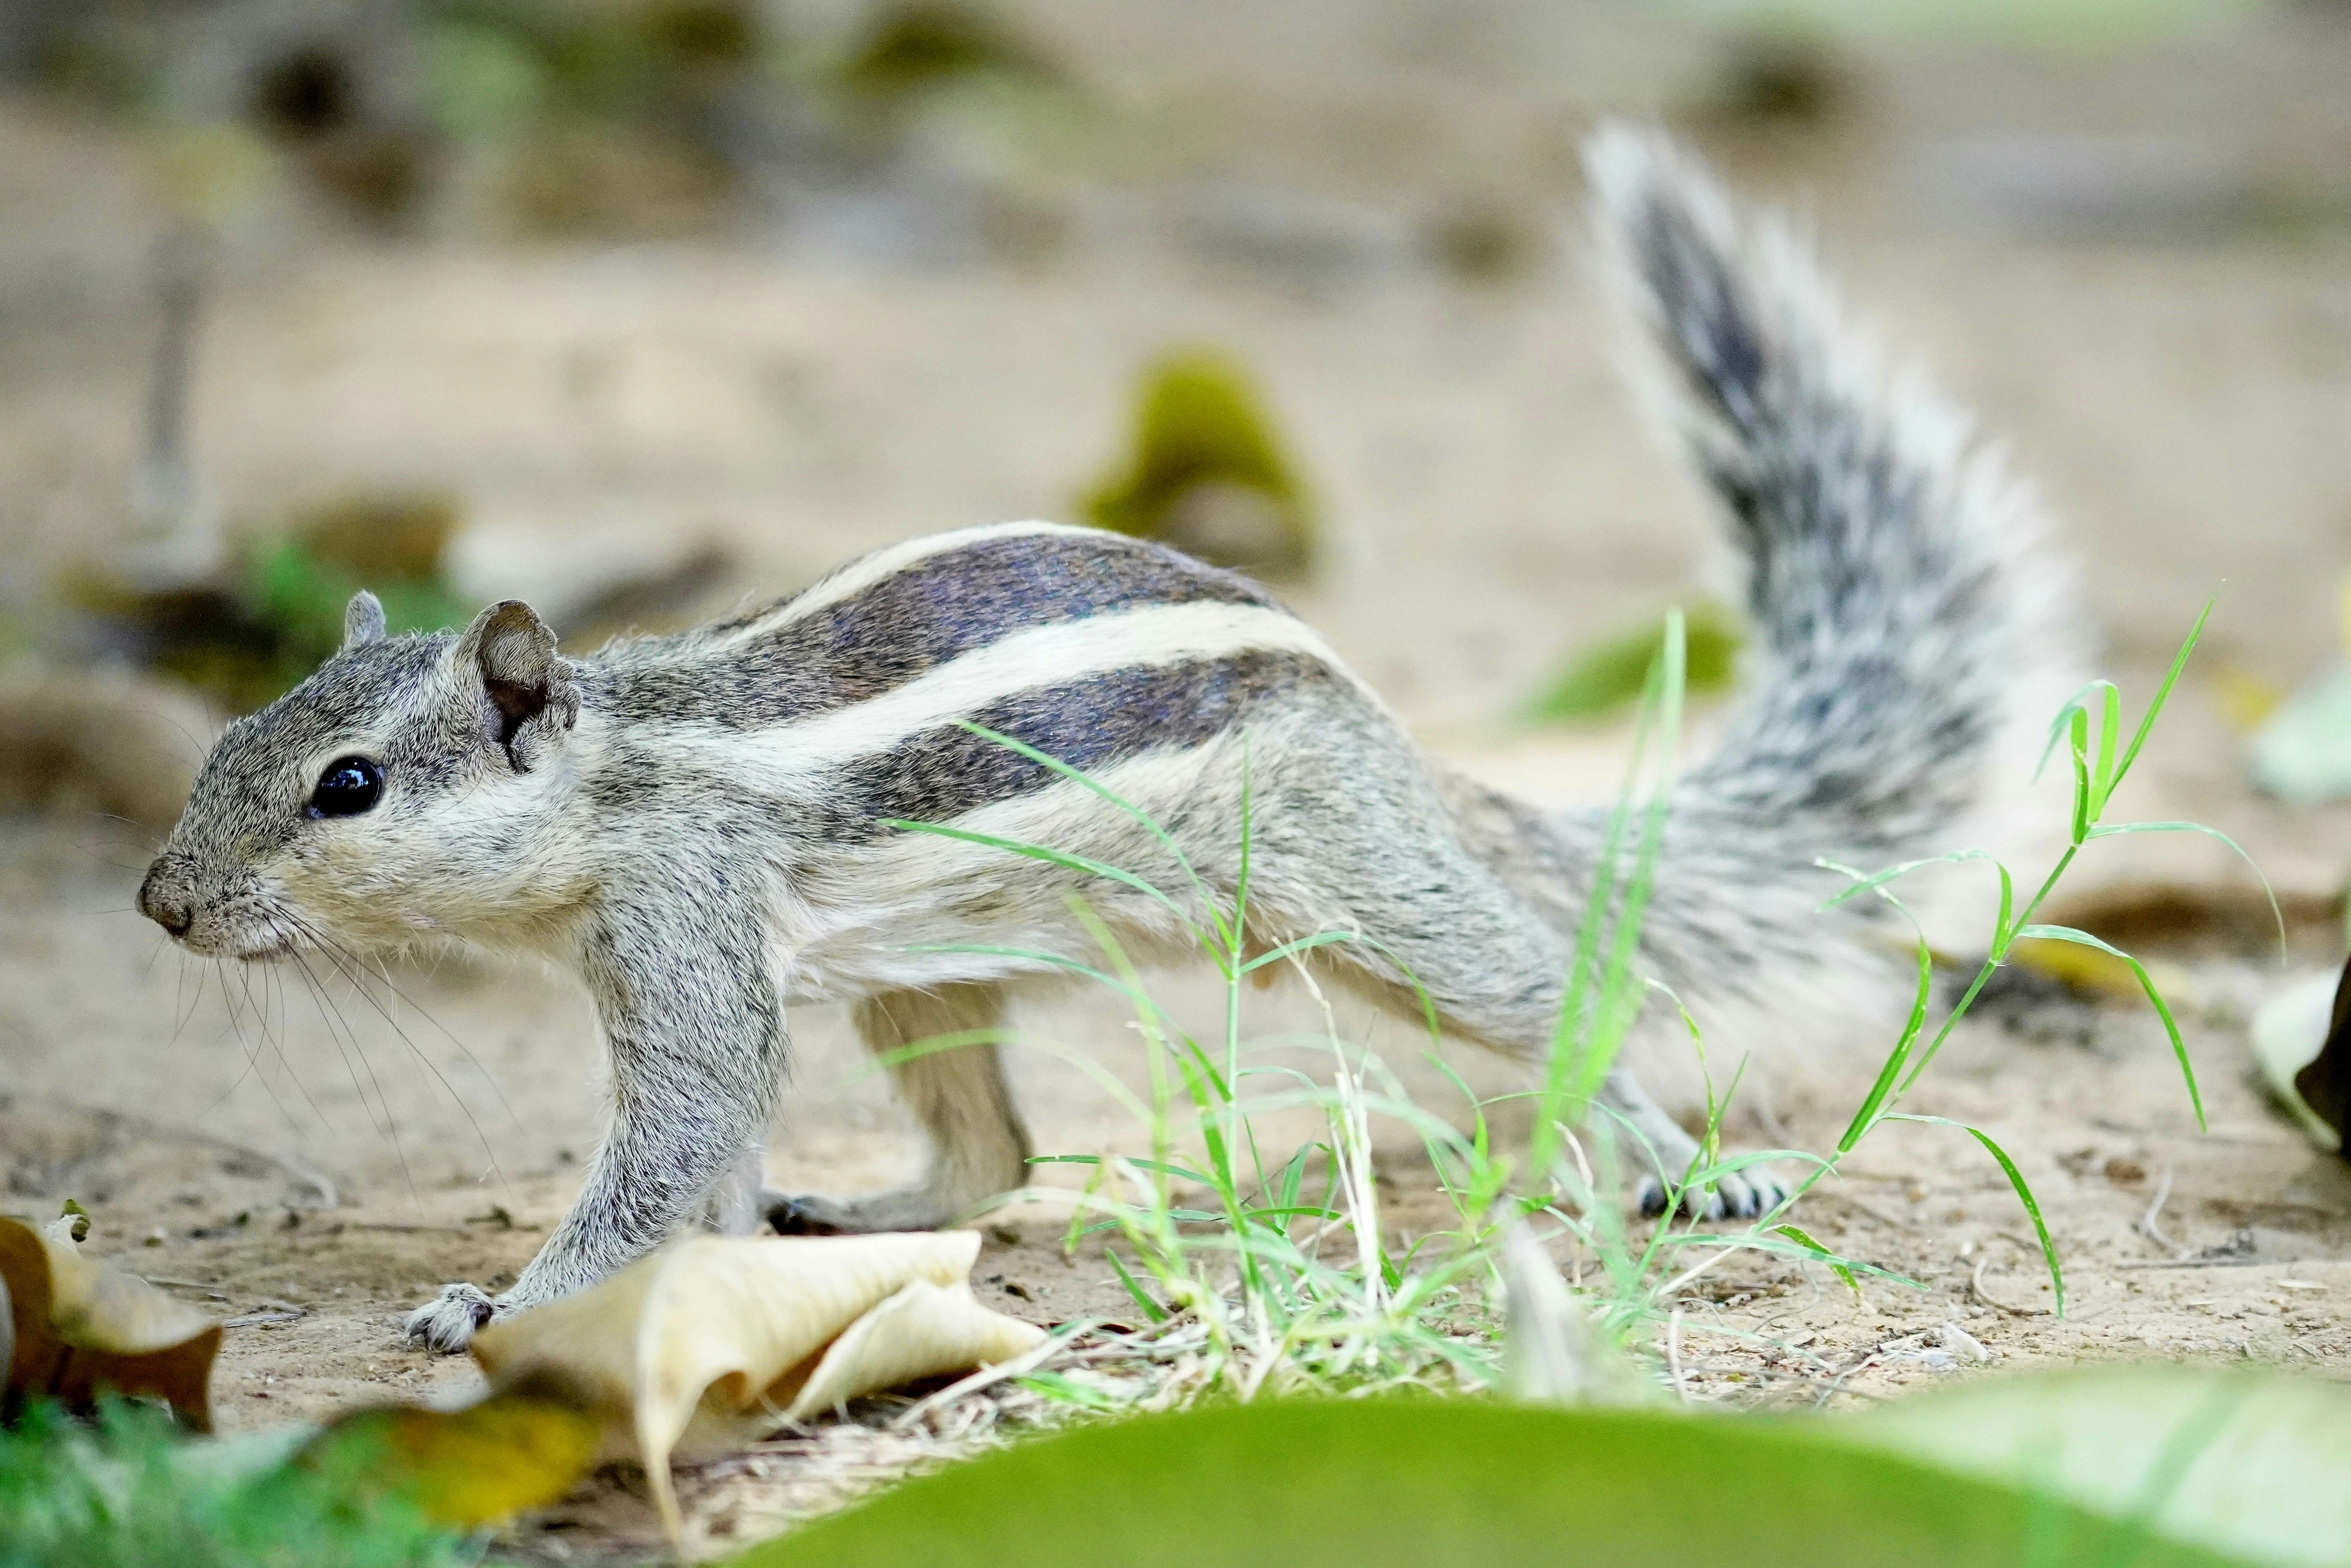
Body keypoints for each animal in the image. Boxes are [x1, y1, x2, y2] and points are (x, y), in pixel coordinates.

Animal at [137, 127, 2074, 1353]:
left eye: (348, 785)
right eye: (226, 734)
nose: (162, 902)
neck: (625, 770)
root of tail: (1378, 718)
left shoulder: (685, 935)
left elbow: (674, 1145)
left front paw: (503, 1305)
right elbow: (719, 1156)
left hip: (1358, 891)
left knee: (1558, 989)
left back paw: (1691, 1157)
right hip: (925, 983)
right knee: (993, 1154)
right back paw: (858, 1216)